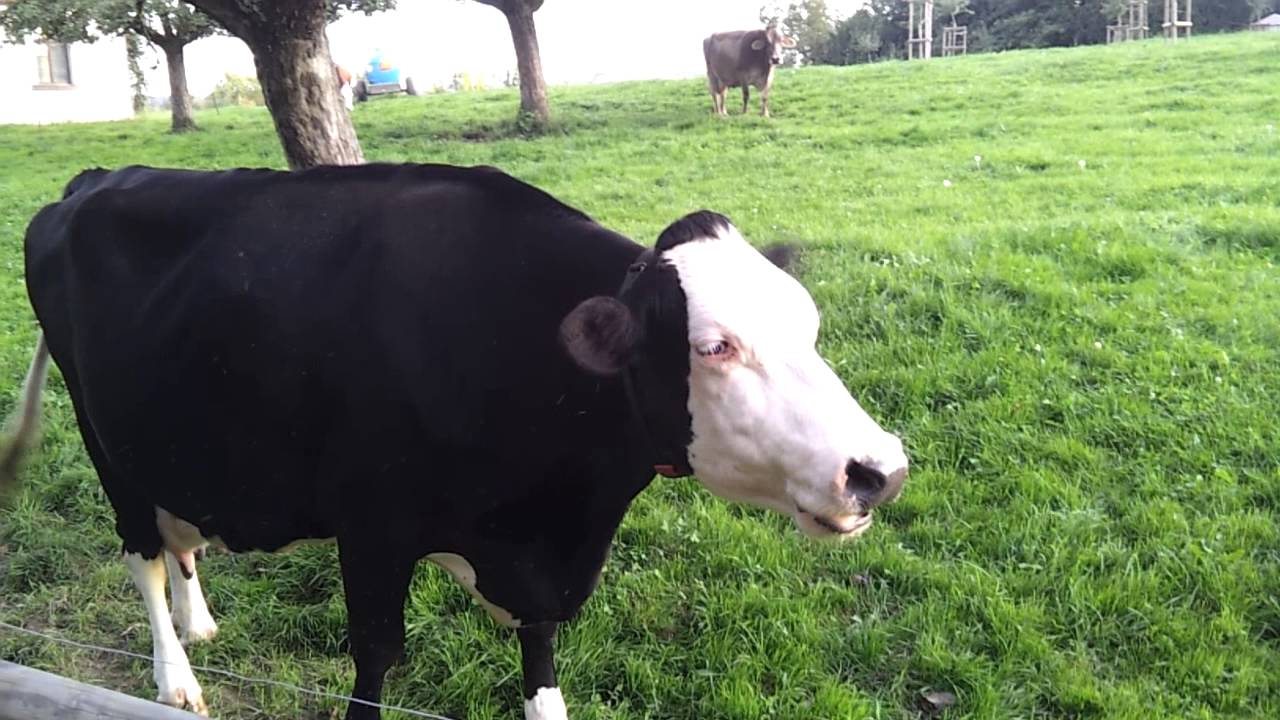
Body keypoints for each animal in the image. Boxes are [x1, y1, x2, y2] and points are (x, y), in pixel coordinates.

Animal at [0, 163, 909, 720]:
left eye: (809, 325)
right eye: (714, 346)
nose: (881, 470)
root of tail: (92, 180)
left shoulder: (538, 566)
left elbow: (541, 664)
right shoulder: (371, 532)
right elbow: (375, 663)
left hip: (175, 442)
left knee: (179, 539)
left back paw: (200, 625)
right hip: (108, 445)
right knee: (143, 555)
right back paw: (177, 676)